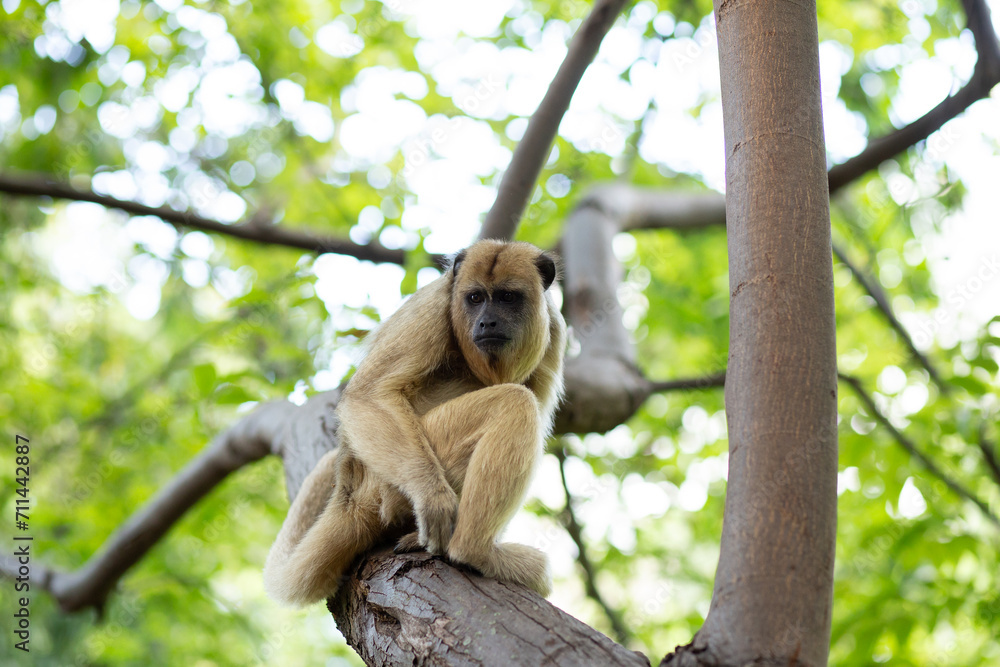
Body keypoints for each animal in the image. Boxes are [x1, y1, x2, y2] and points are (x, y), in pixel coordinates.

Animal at [263, 239, 566, 606]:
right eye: (475, 298)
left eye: (508, 297)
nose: (486, 323)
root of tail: (349, 492)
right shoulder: (433, 306)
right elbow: (367, 396)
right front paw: (433, 497)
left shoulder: (554, 330)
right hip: (388, 484)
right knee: (515, 403)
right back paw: (474, 550)